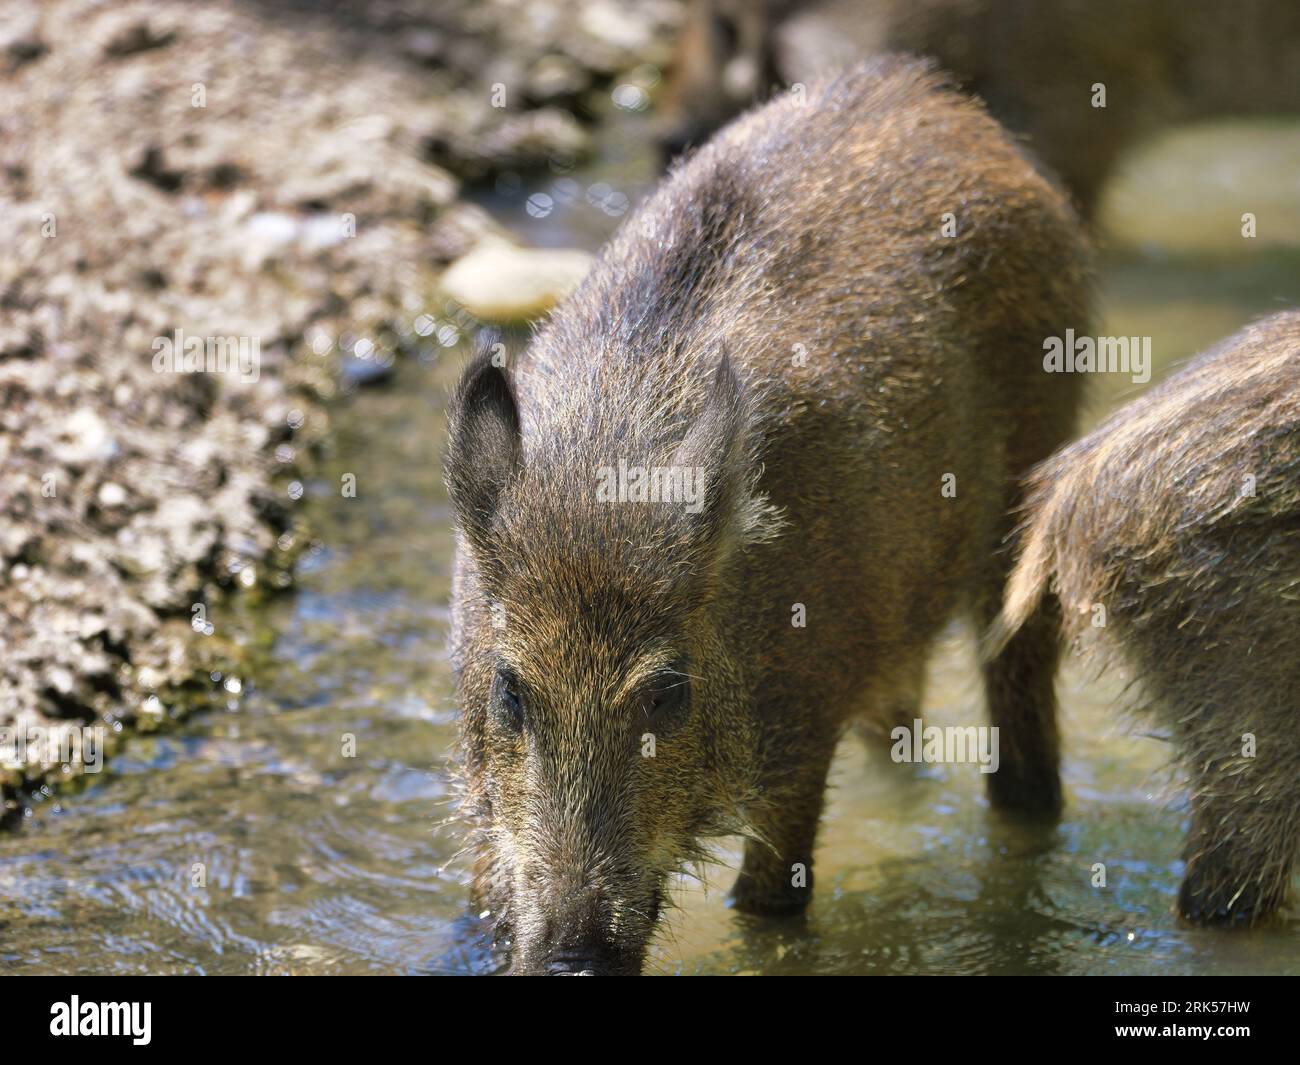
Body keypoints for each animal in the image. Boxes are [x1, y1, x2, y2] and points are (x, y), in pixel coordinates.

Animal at [445, 55, 1091, 974]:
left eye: (668, 692)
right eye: (509, 689)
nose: (574, 956)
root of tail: (933, 96)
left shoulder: (801, 737)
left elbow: (769, 908)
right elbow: (489, 902)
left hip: (1030, 499)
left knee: (1023, 744)